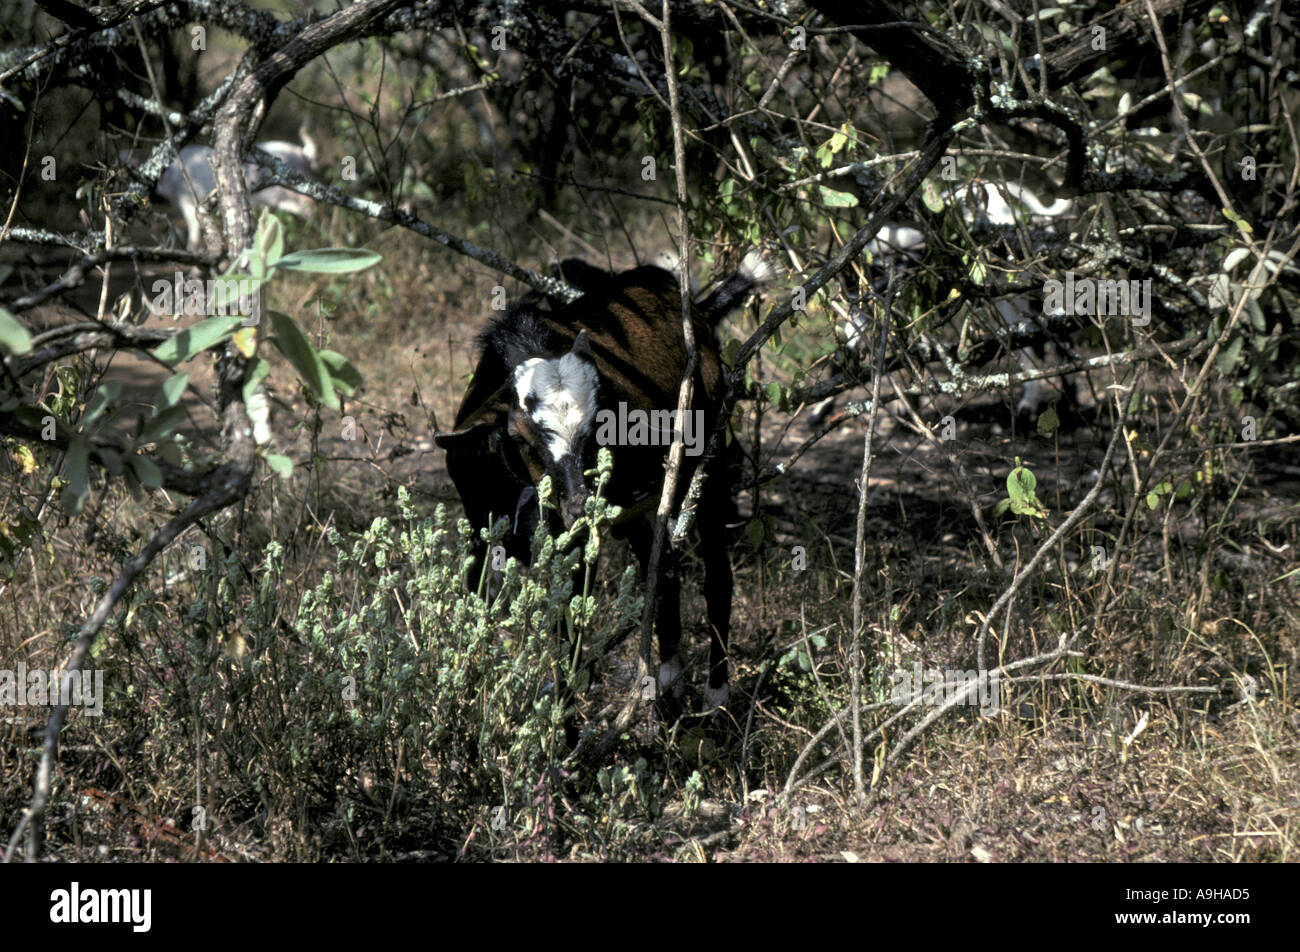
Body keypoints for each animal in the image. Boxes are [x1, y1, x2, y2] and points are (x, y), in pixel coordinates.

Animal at [436, 253, 771, 710]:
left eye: (604, 425)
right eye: (520, 437)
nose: (581, 506)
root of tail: (695, 310)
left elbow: (569, 616)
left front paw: (562, 707)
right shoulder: (479, 522)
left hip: (710, 466)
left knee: (716, 574)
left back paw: (715, 691)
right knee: (663, 568)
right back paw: (666, 677)